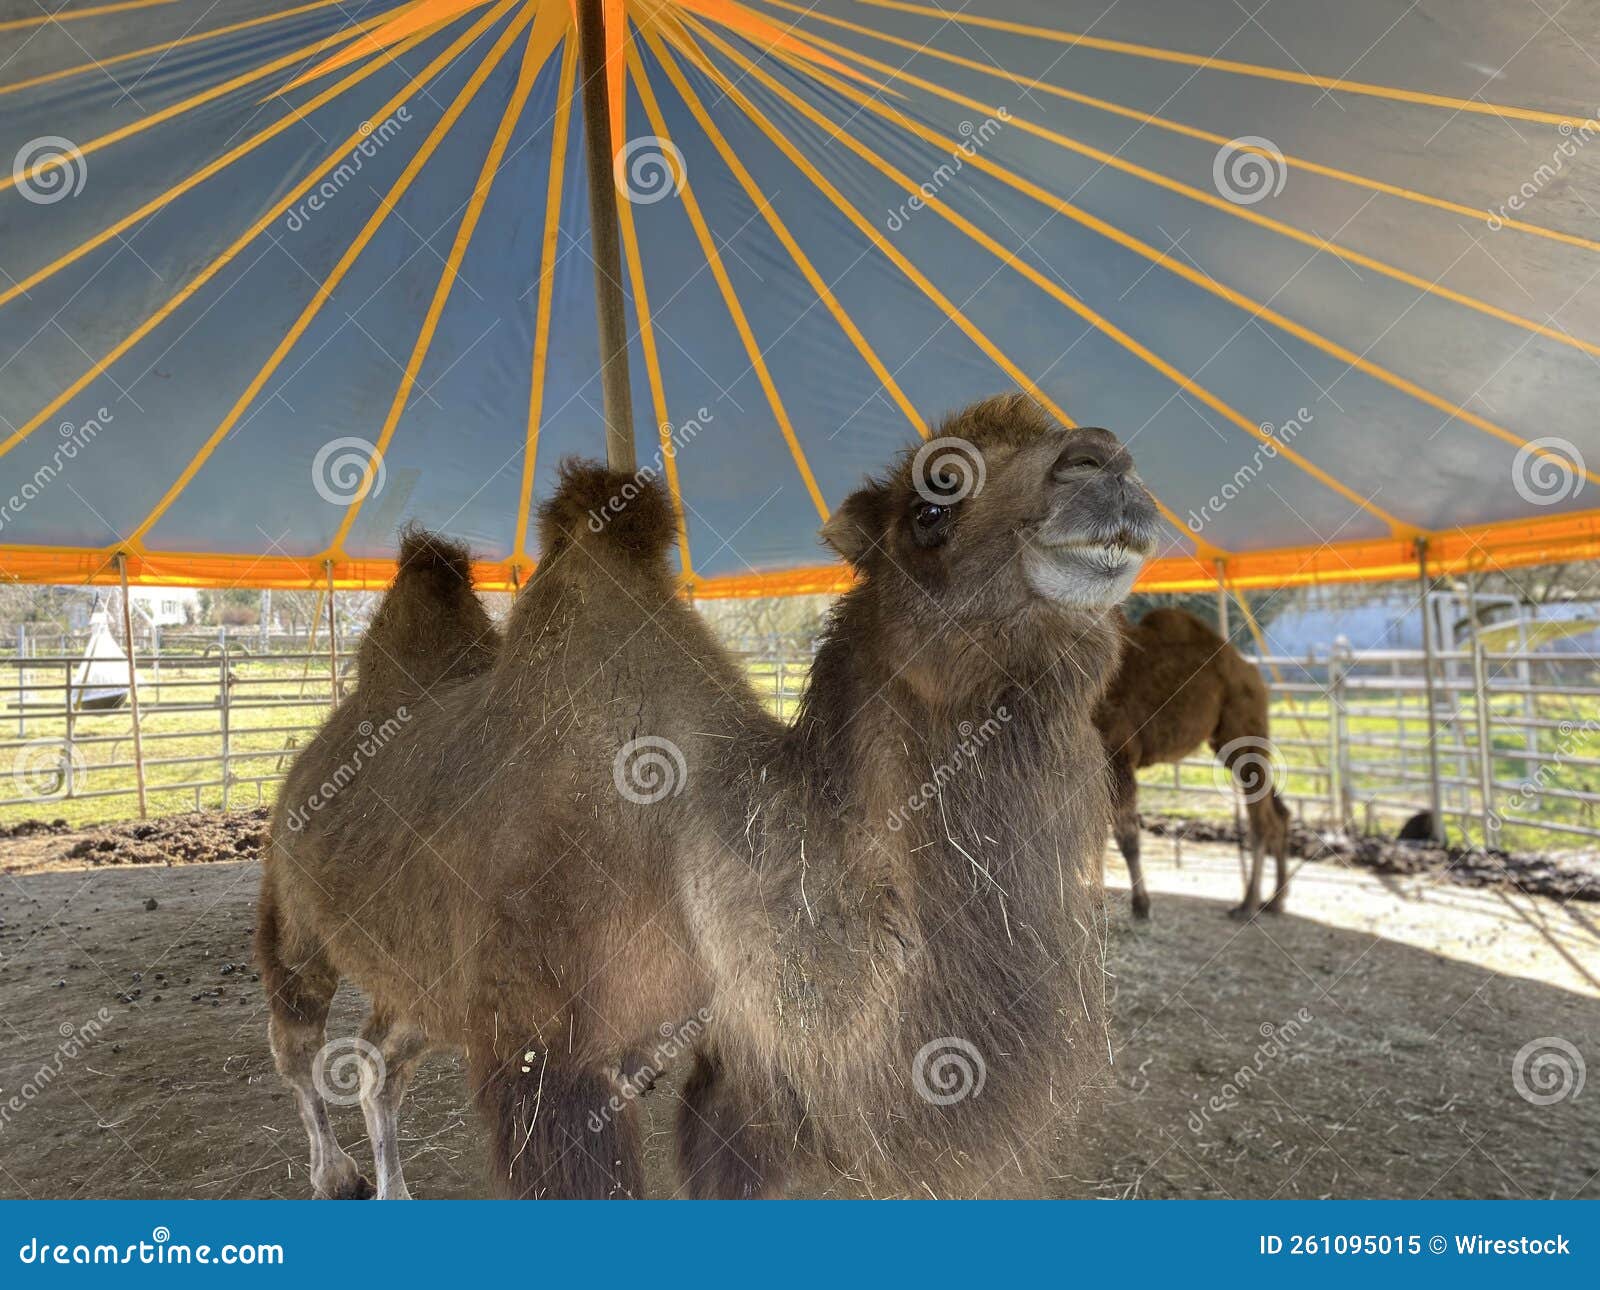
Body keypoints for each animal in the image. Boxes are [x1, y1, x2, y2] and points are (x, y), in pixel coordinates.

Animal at [257, 394, 1159, 1199]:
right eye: (932, 500)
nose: (1106, 463)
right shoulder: (542, 1057)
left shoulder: (732, 1058)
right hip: (292, 911)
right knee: (298, 1040)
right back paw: (332, 1173)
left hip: (418, 970)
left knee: (379, 1059)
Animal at [1095, 608, 1291, 921]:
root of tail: (1252, 673)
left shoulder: (1119, 754)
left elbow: (1126, 836)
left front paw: (1141, 906)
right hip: (1231, 741)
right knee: (1279, 811)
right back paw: (1275, 900)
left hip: (1243, 729)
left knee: (1261, 818)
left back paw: (1247, 905)